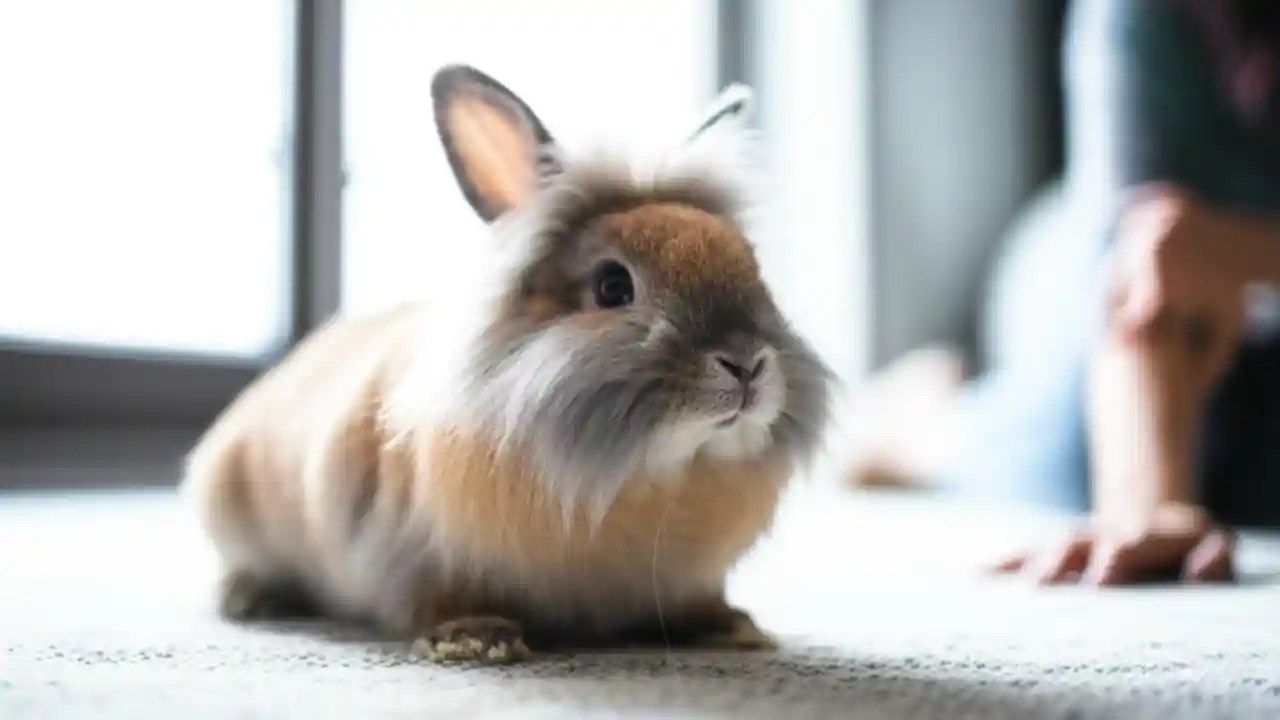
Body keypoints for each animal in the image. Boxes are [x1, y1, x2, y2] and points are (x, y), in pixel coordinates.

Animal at [183, 64, 831, 663]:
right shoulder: (422, 552)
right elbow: (441, 599)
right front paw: (476, 640)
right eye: (612, 286)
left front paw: (734, 628)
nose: (746, 364)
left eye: (752, 269)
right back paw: (249, 598)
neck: (639, 476)